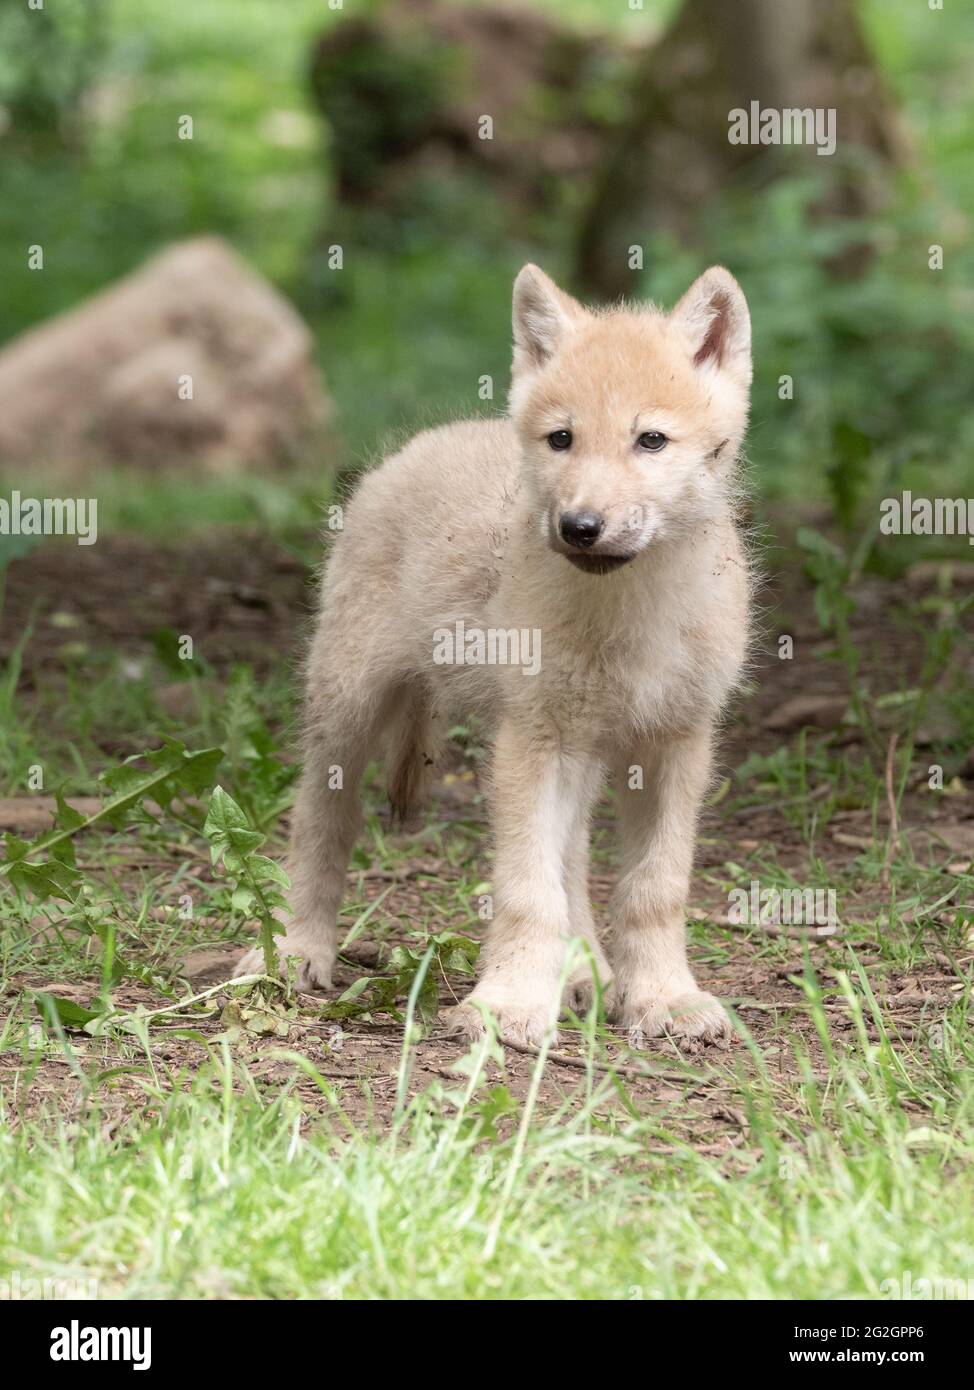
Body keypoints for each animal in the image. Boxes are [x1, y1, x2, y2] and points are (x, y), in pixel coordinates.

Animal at [236, 264, 753, 1046]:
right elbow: (526, 889)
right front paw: (507, 1006)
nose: (579, 527)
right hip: (347, 710)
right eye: (562, 439)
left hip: (582, 750)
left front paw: (664, 999)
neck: (630, 614)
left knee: (574, 858)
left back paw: (585, 973)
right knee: (321, 826)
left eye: (651, 441)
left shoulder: (674, 745)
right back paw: (296, 950)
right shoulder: (532, 742)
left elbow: (653, 889)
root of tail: (422, 442)